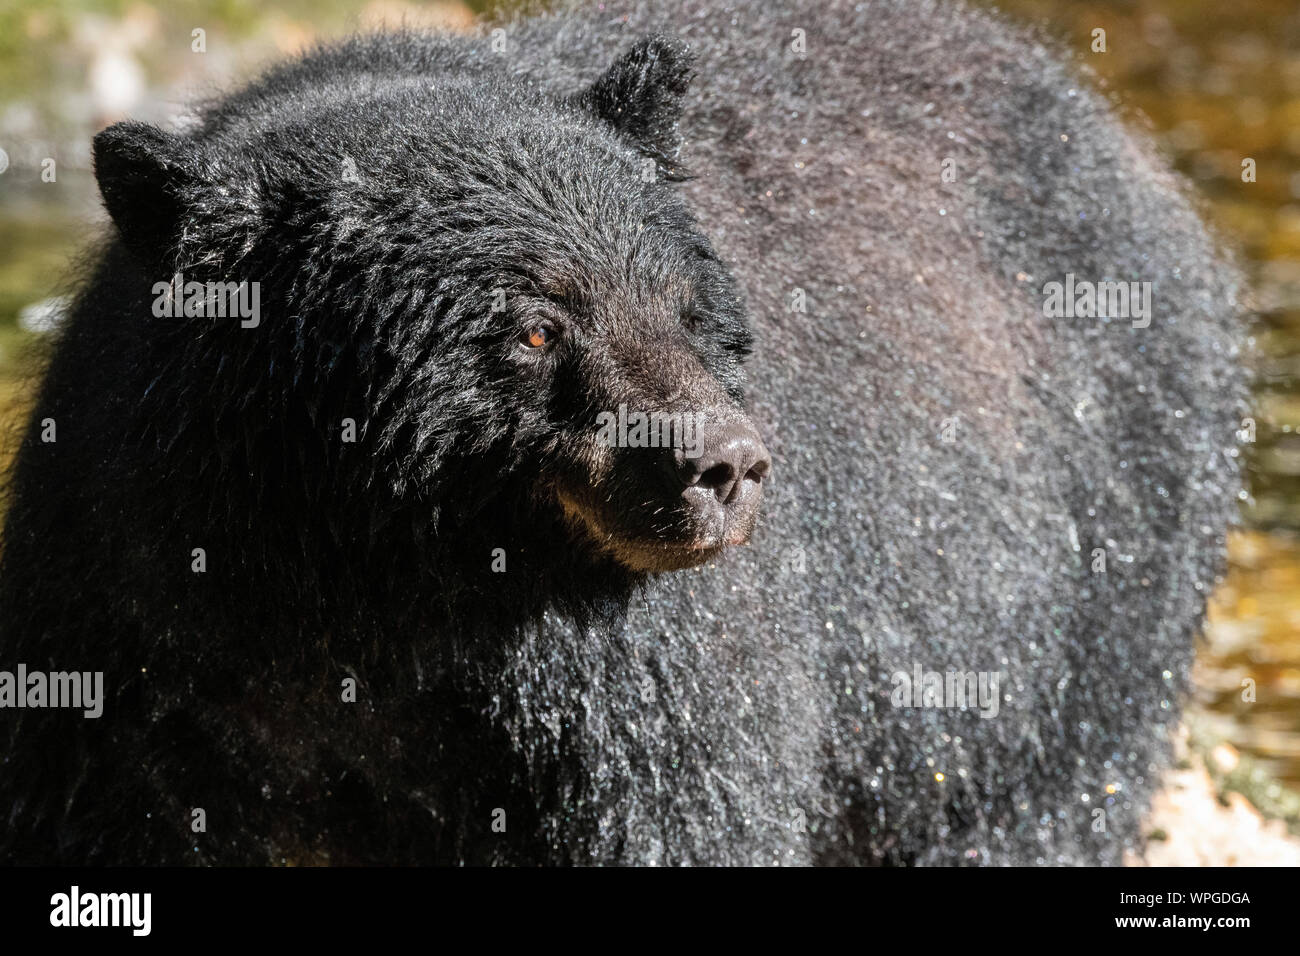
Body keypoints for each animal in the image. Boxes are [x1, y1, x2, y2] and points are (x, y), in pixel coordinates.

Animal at [0, 0, 1244, 866]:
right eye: (535, 326)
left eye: (687, 303)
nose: (722, 466)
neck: (375, 580)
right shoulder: (129, 614)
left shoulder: (628, 679)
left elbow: (679, 802)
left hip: (1079, 600)